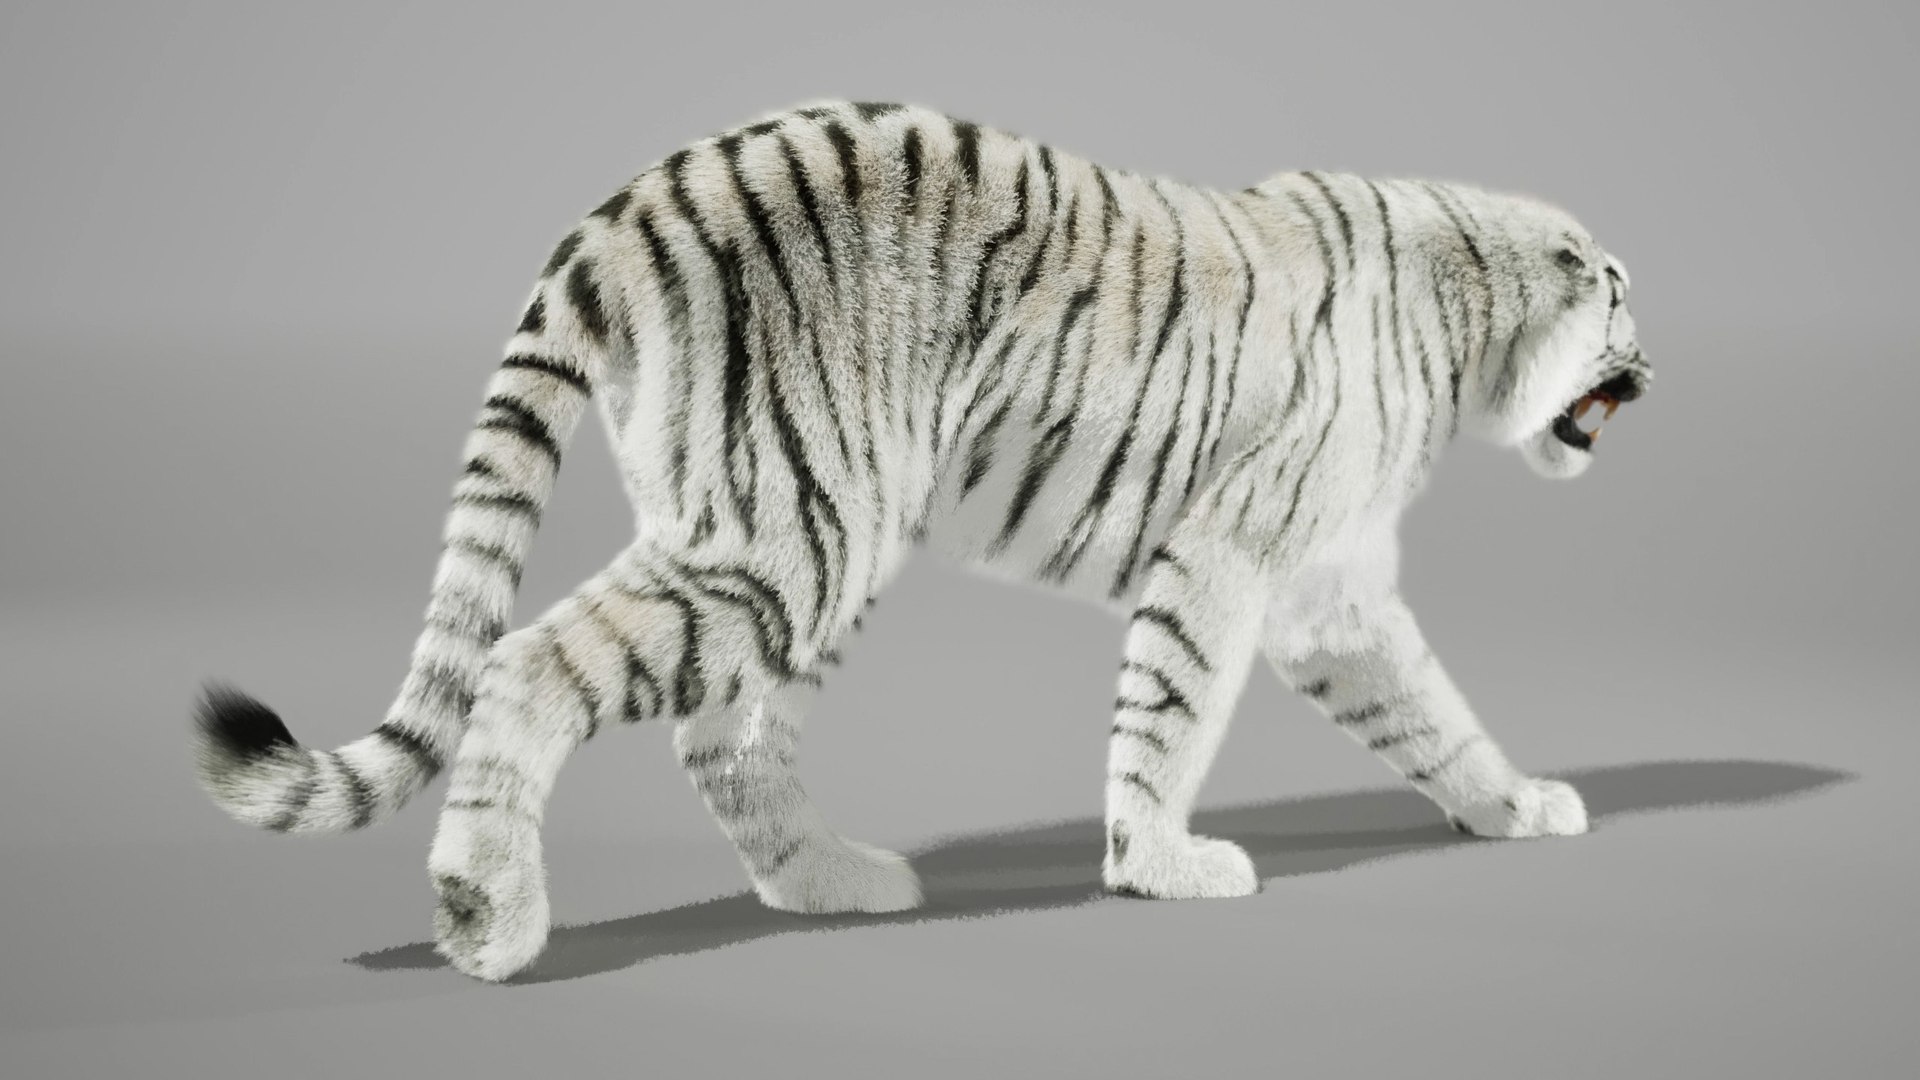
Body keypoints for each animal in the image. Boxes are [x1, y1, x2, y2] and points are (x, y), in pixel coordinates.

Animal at [192, 100, 1652, 982]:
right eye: (1623, 301)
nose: (1655, 368)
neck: (1467, 324)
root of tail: (635, 200)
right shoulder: (1230, 554)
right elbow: (1174, 713)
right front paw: (1160, 864)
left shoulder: (1332, 589)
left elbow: (1433, 713)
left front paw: (1515, 802)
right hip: (789, 538)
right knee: (528, 667)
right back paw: (488, 917)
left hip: (804, 539)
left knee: (724, 736)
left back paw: (832, 883)